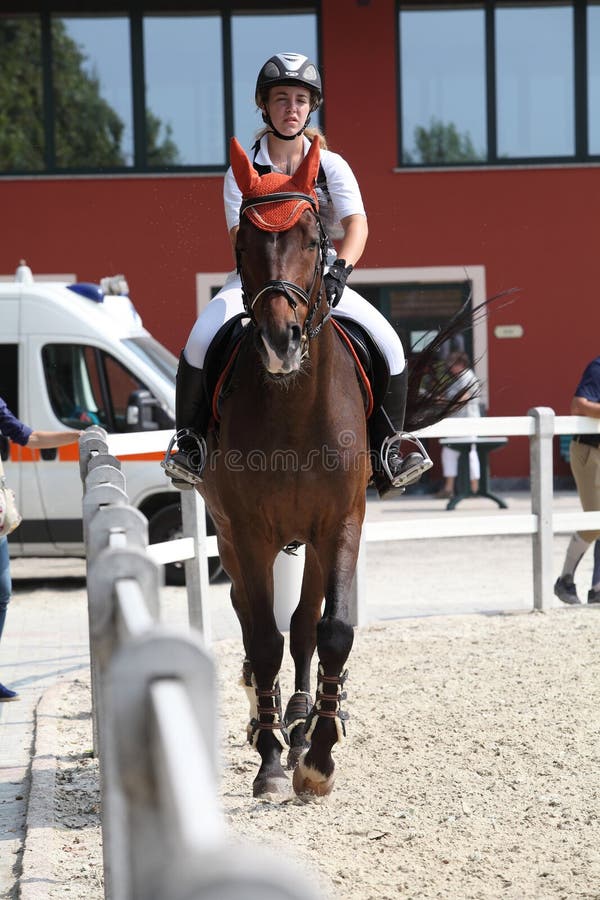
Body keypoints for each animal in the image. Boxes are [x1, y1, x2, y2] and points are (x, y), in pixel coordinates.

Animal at [197, 136, 478, 799]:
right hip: (230, 536)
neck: (293, 410)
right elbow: (263, 638)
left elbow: (332, 629)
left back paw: (304, 721)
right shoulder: (247, 532)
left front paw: (318, 756)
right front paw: (272, 762)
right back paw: (271, 724)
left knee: (303, 623)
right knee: (252, 621)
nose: (281, 340)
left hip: (313, 541)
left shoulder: (340, 523)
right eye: (243, 245)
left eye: (312, 239)